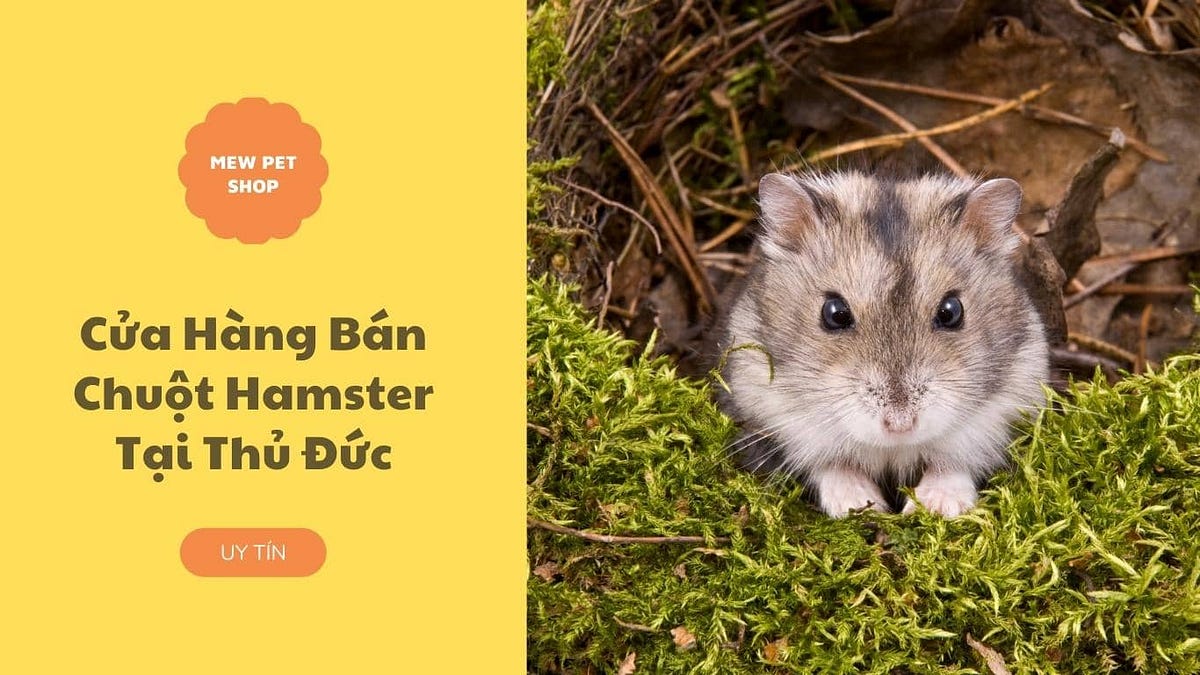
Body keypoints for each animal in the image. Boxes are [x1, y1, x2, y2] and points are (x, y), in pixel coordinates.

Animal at [713, 170, 1049, 518]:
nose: (900, 426)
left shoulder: (1001, 410)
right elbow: (831, 465)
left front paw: (936, 507)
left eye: (952, 311)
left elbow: (952, 464)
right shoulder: (770, 410)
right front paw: (862, 505)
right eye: (834, 313)